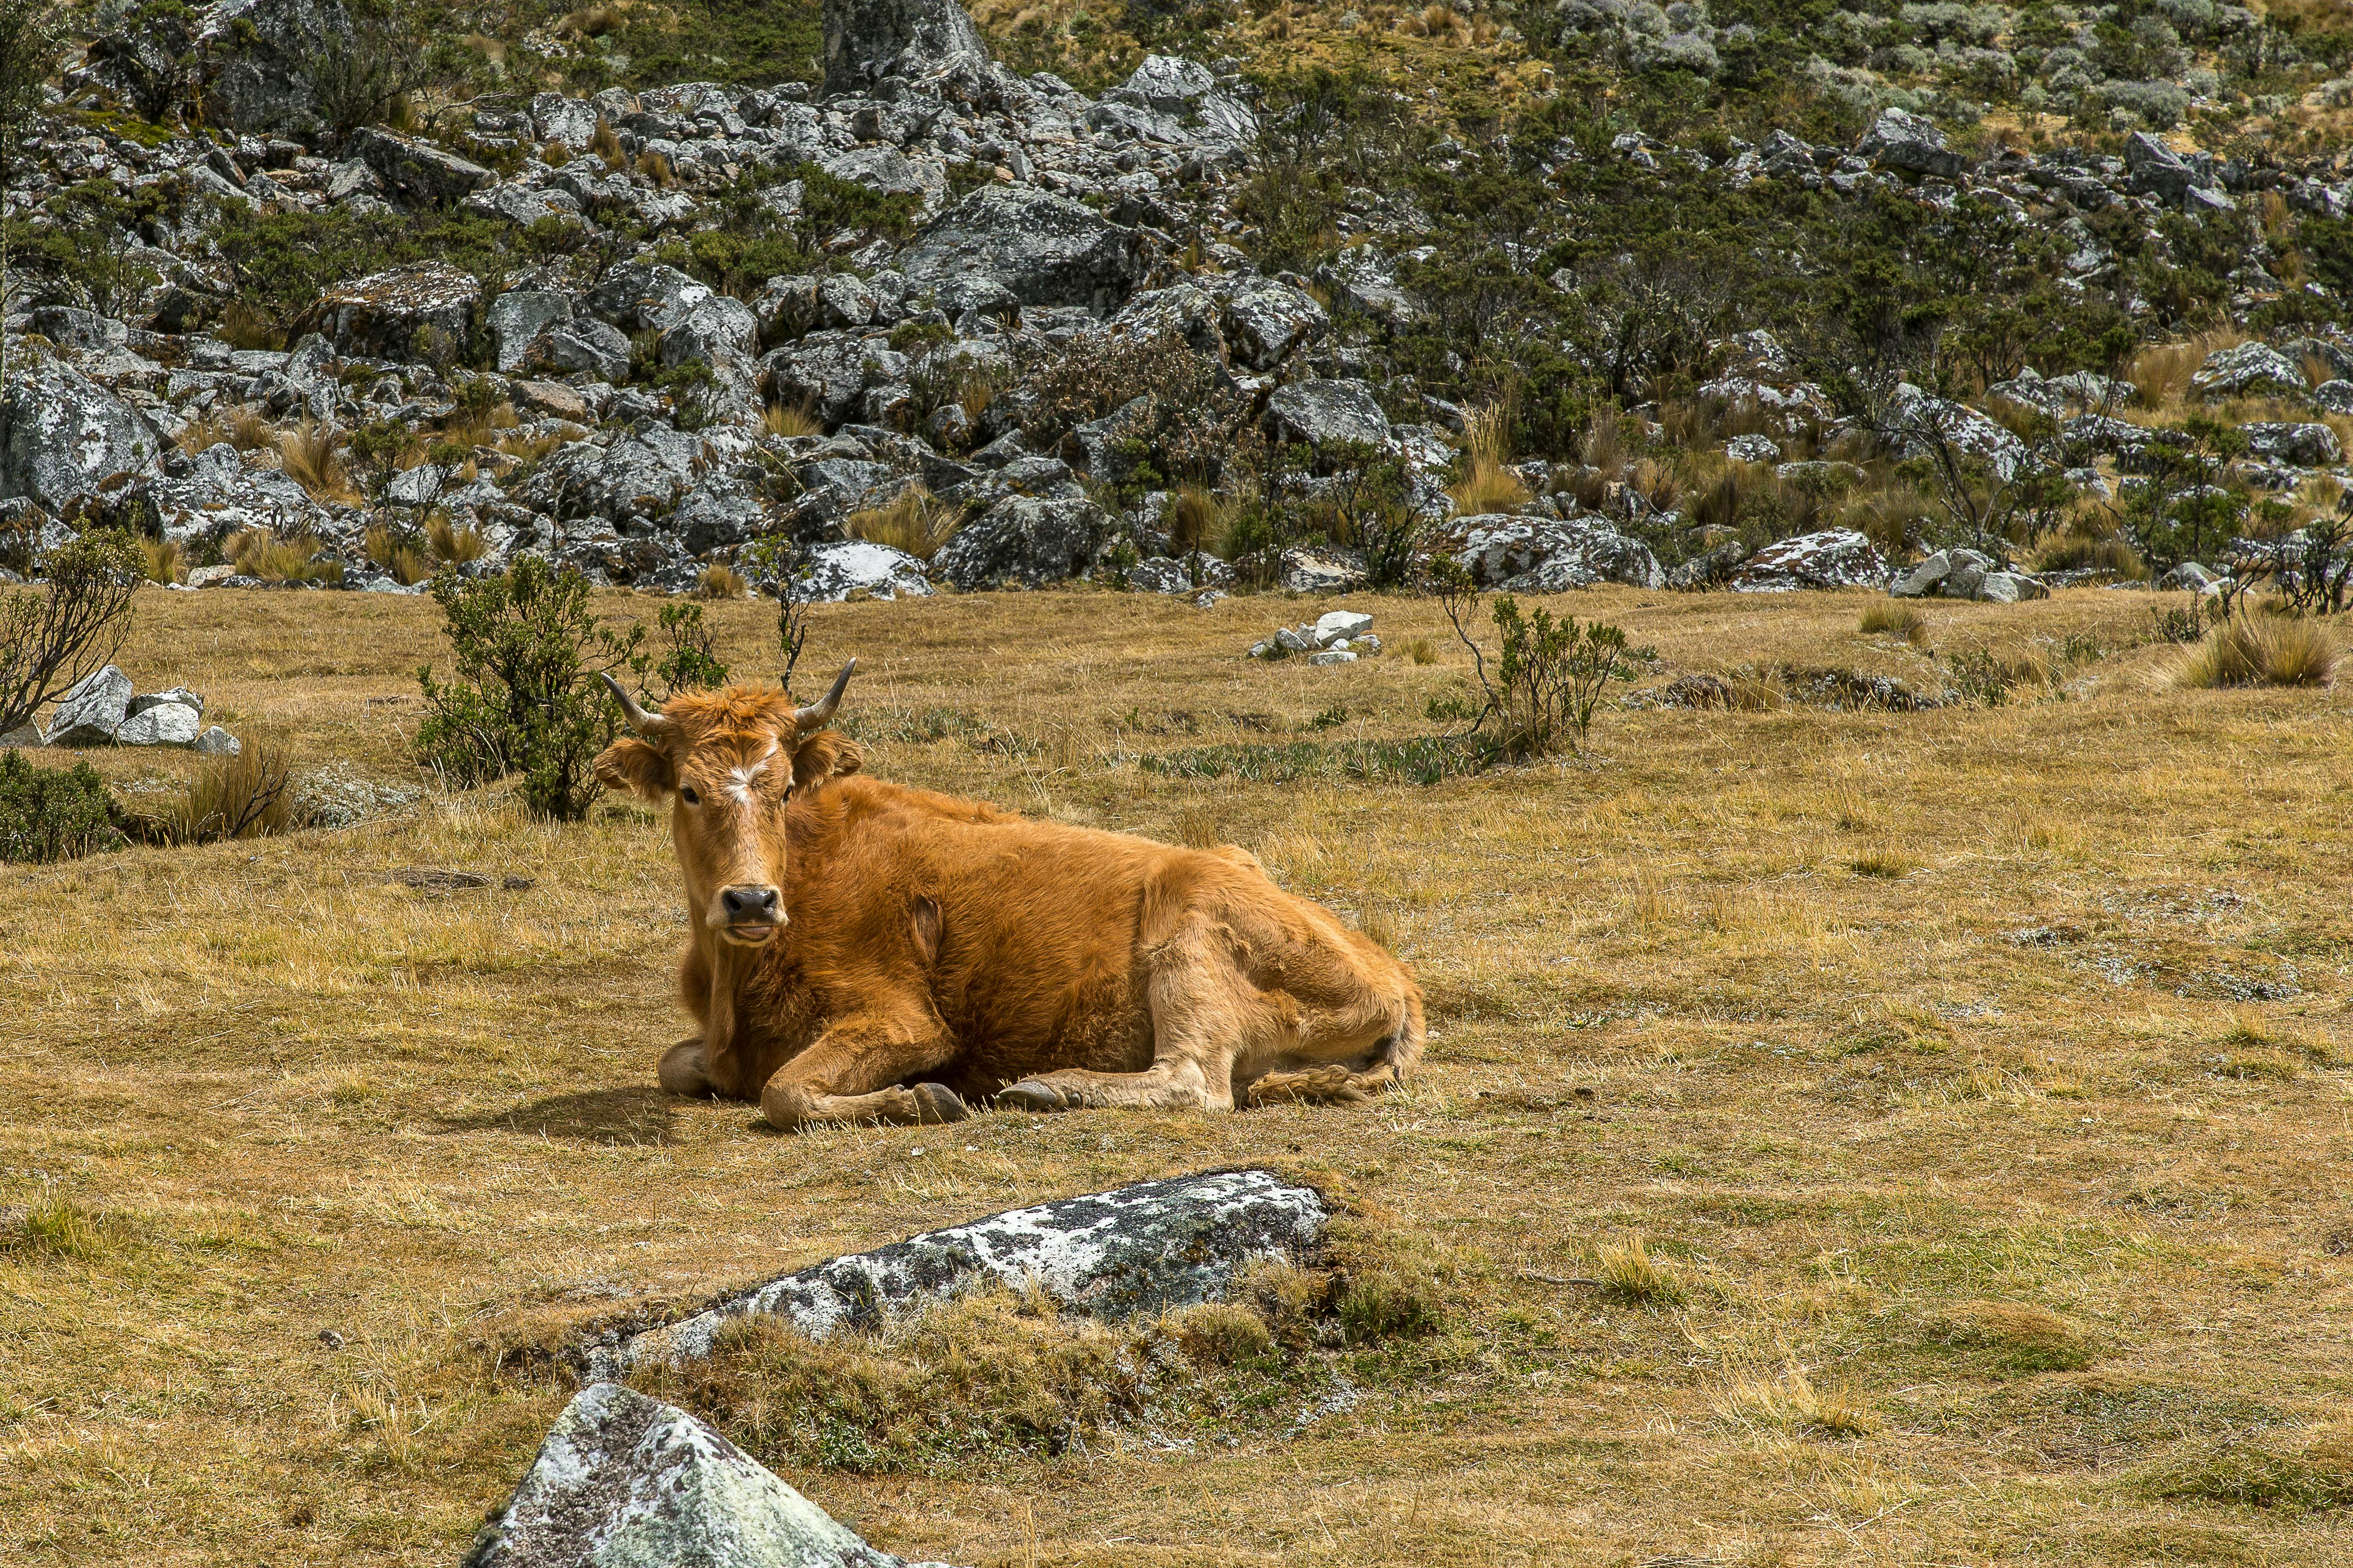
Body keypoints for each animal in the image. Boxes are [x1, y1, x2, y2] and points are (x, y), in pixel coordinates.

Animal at [591, 663, 1424, 1129]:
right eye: (689, 790)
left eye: (786, 787)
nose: (751, 902)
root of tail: (1396, 978)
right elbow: (679, 1064)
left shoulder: (906, 1022)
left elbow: (781, 1092)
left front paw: (920, 1100)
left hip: (1186, 931)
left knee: (1194, 1080)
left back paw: (1048, 1087)